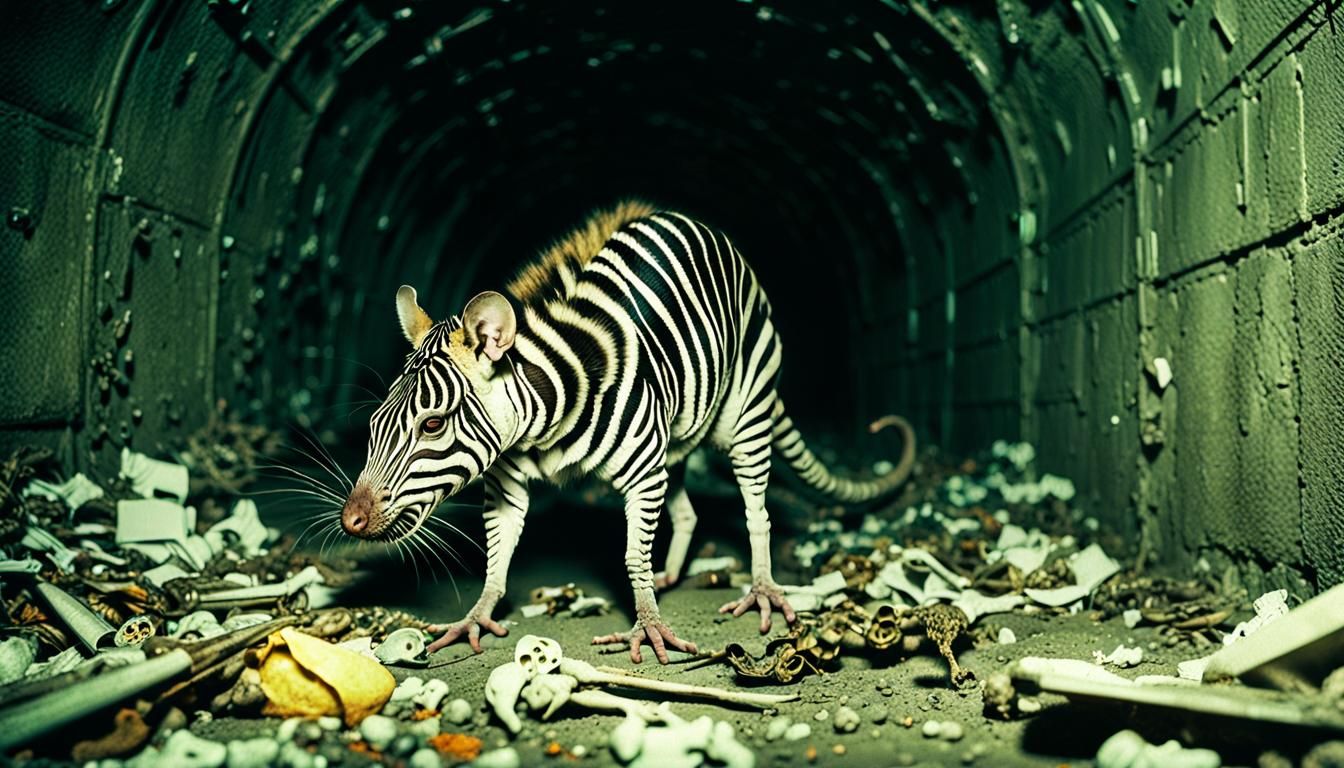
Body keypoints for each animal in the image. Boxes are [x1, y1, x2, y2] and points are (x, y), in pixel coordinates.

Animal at [340, 201, 915, 663]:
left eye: (433, 424)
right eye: (373, 423)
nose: (350, 522)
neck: (543, 420)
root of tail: (691, 223)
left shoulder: (642, 474)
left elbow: (632, 555)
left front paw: (648, 627)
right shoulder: (507, 486)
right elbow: (496, 560)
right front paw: (475, 618)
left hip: (746, 419)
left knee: (758, 514)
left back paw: (761, 590)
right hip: (676, 437)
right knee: (688, 511)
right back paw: (671, 577)